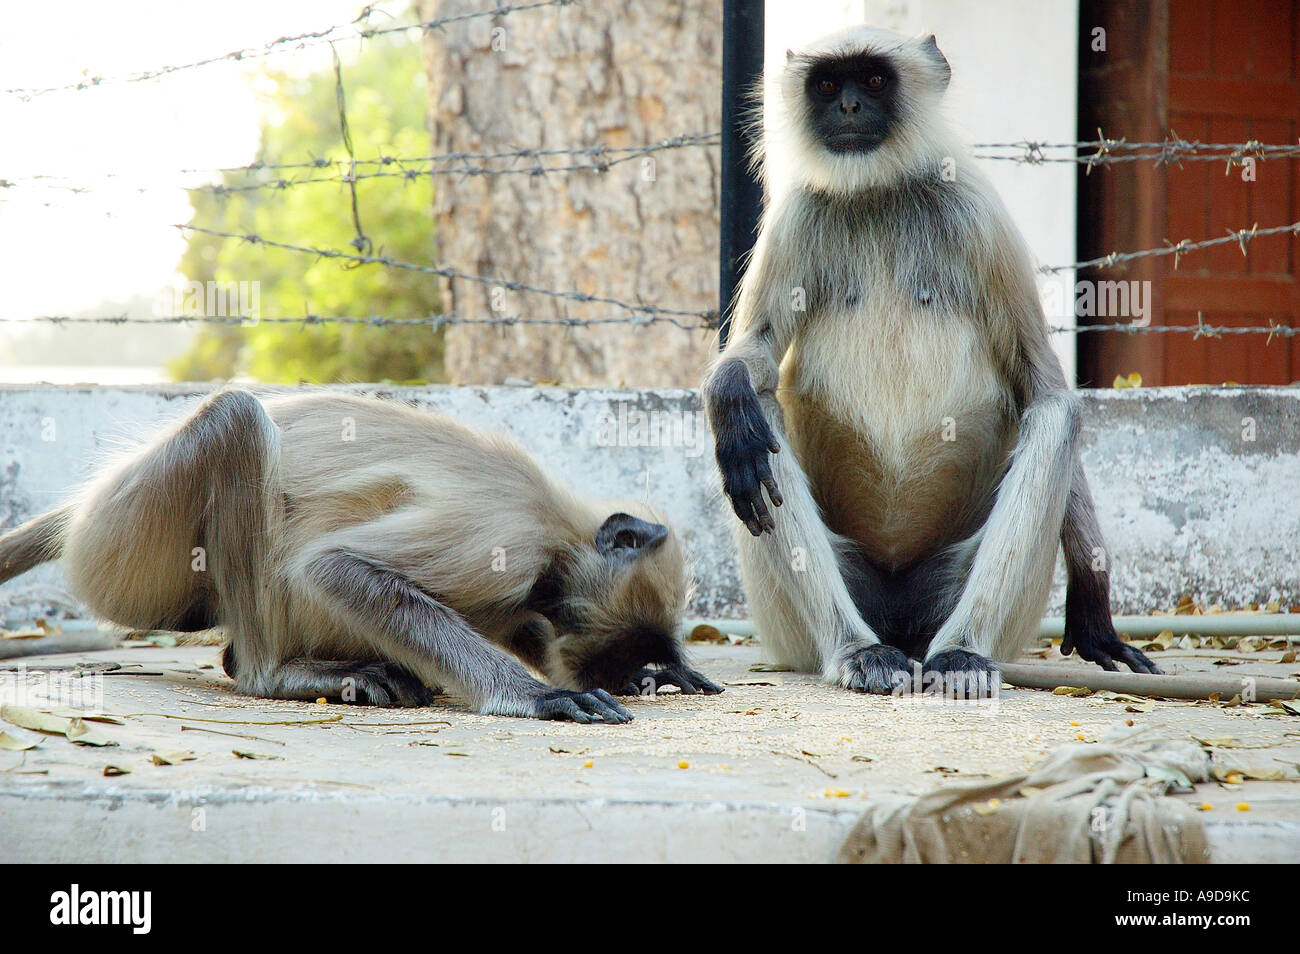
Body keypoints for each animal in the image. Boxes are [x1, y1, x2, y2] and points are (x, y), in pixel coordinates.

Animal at [0, 389, 722, 721]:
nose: (621, 672)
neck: (560, 527)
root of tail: (89, 505)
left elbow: (525, 630)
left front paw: (654, 676)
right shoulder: (507, 535)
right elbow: (335, 567)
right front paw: (537, 695)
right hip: (123, 535)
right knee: (236, 416)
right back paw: (270, 674)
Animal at [702, 26, 1157, 697]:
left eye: (873, 81)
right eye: (828, 85)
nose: (849, 108)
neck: (880, 192)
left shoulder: (979, 214)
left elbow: (1044, 391)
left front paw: (1093, 602)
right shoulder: (796, 215)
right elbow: (751, 358)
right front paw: (728, 383)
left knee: (1054, 419)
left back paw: (961, 653)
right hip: (790, 627)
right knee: (757, 417)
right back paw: (861, 650)